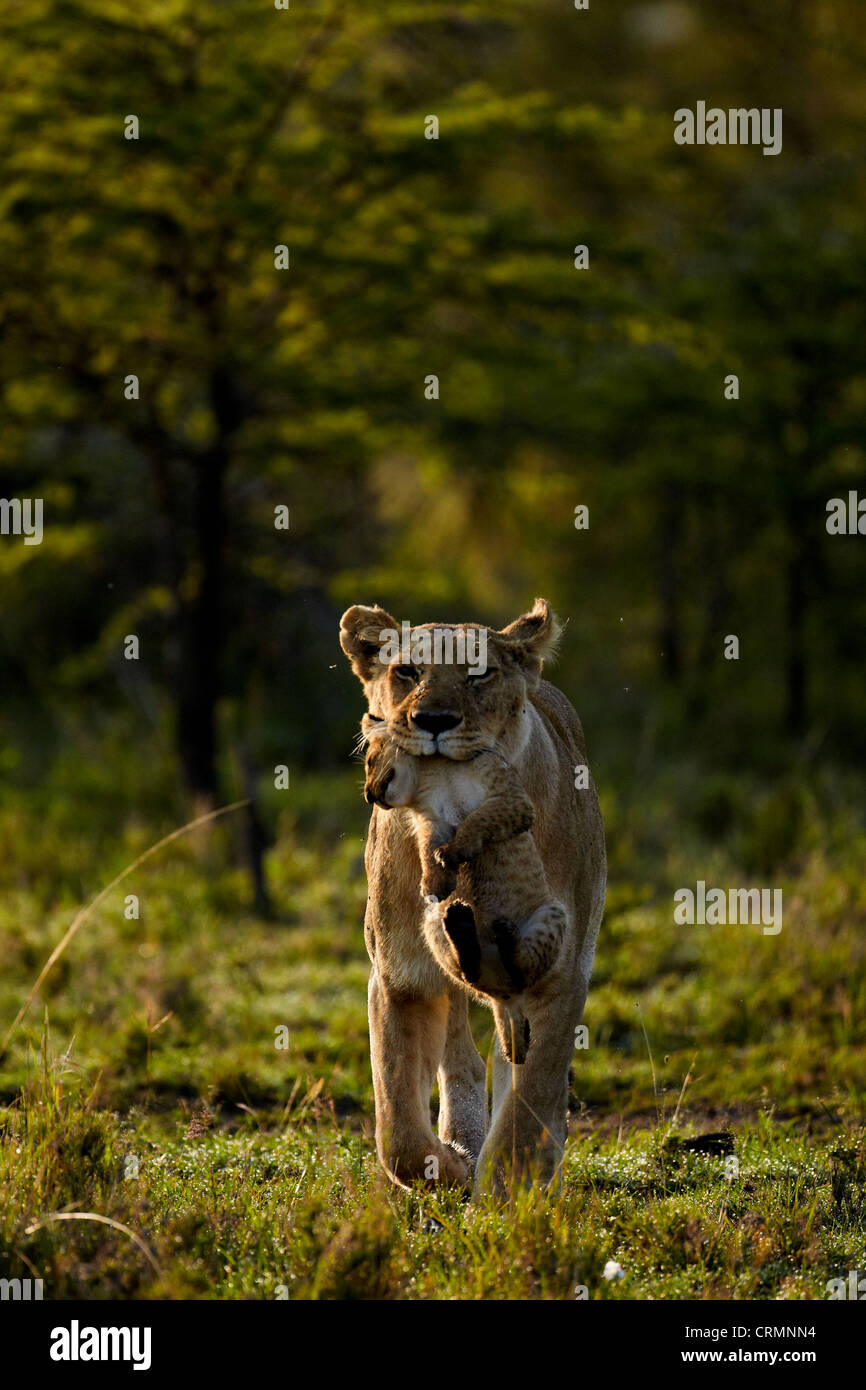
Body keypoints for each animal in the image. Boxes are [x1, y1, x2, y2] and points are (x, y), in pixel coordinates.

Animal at [360, 711, 568, 1066]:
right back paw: (462, 922)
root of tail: (504, 1000)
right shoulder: (432, 820)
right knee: (472, 972)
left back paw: (505, 936)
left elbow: (478, 819)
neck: (433, 774)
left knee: (521, 972)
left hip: (553, 913)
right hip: (431, 926)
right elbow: (429, 848)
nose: (368, 796)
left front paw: (455, 852)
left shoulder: (512, 799)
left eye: (370, 761)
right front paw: (436, 880)